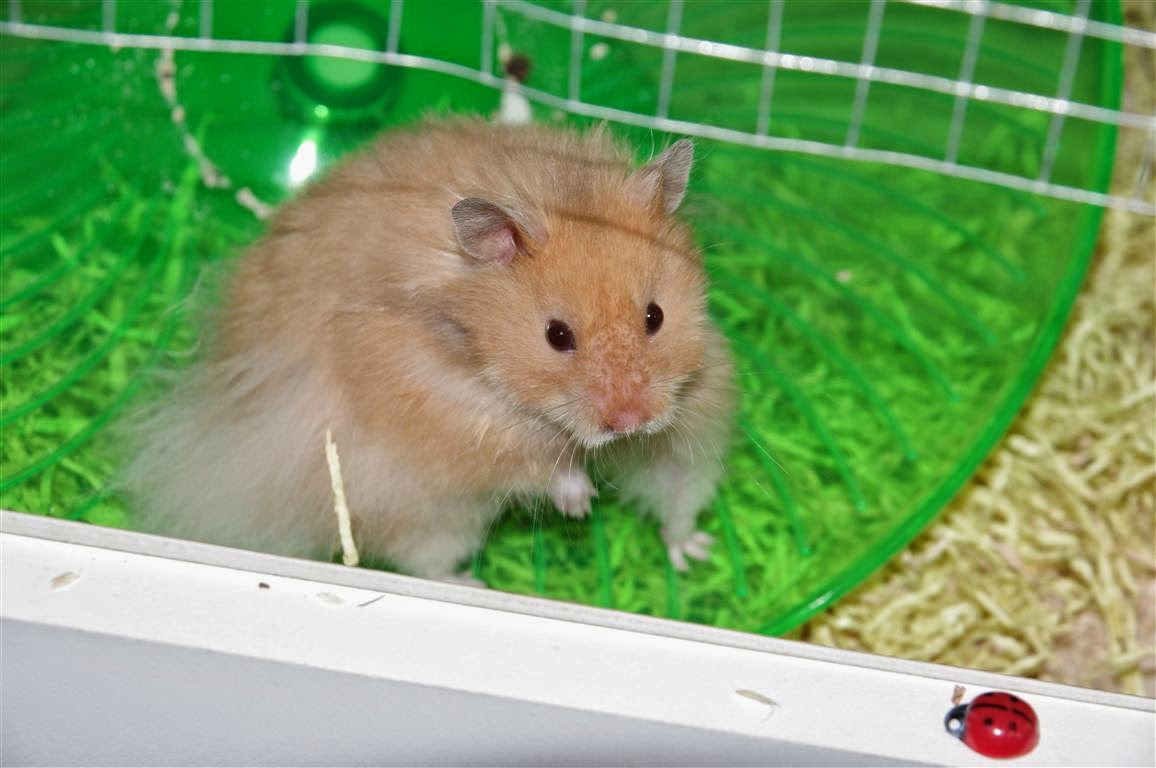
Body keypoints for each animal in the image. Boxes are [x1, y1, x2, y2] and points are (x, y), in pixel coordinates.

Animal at [124, 117, 736, 580]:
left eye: (655, 317)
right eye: (557, 336)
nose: (630, 421)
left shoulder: (685, 421)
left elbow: (678, 494)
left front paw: (694, 553)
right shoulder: (458, 425)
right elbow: (538, 465)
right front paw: (581, 502)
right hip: (425, 513)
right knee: (426, 563)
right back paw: (474, 582)